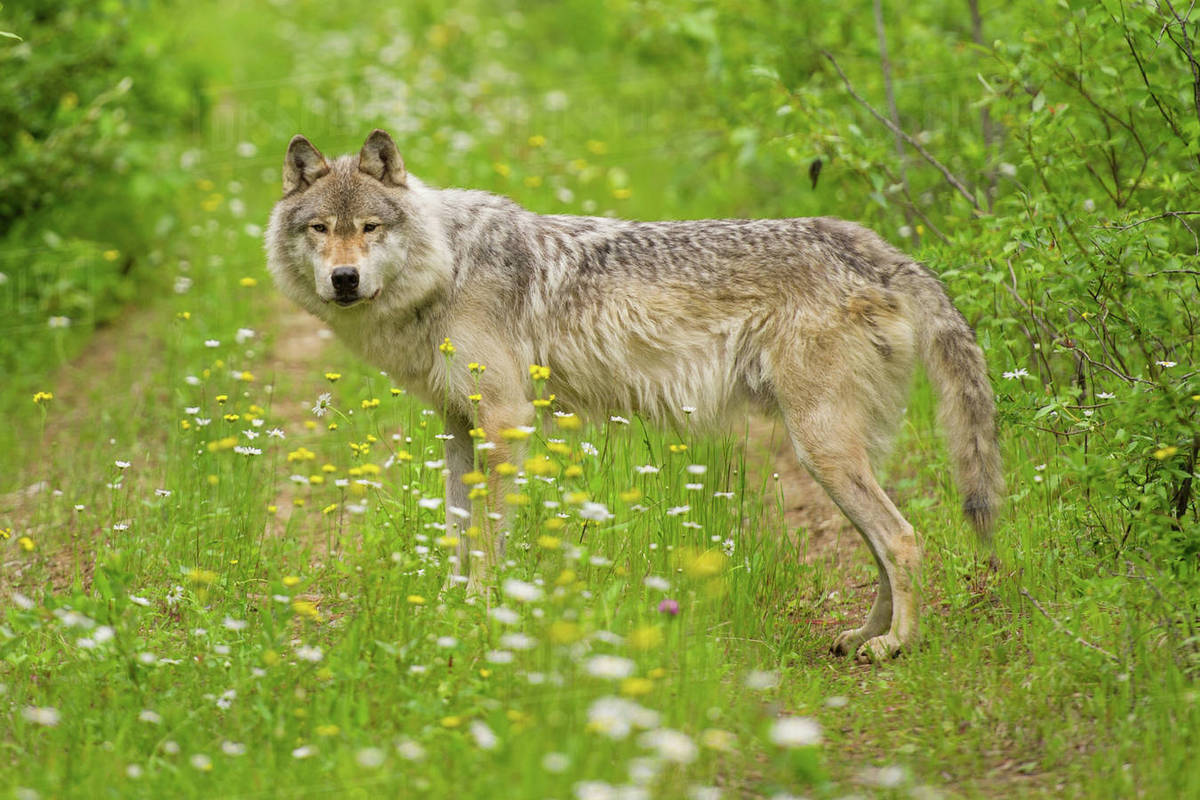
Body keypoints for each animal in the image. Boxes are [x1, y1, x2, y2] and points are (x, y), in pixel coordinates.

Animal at [266, 129, 1003, 662]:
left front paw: (482, 611)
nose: (343, 279)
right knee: (883, 545)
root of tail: (872, 244)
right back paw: (866, 635)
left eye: (368, 227)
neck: (447, 266)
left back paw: (896, 645)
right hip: (834, 455)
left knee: (903, 539)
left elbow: (489, 538)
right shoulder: (457, 426)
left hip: (822, 449)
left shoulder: (505, 422)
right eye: (320, 230)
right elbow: (456, 532)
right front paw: (449, 607)